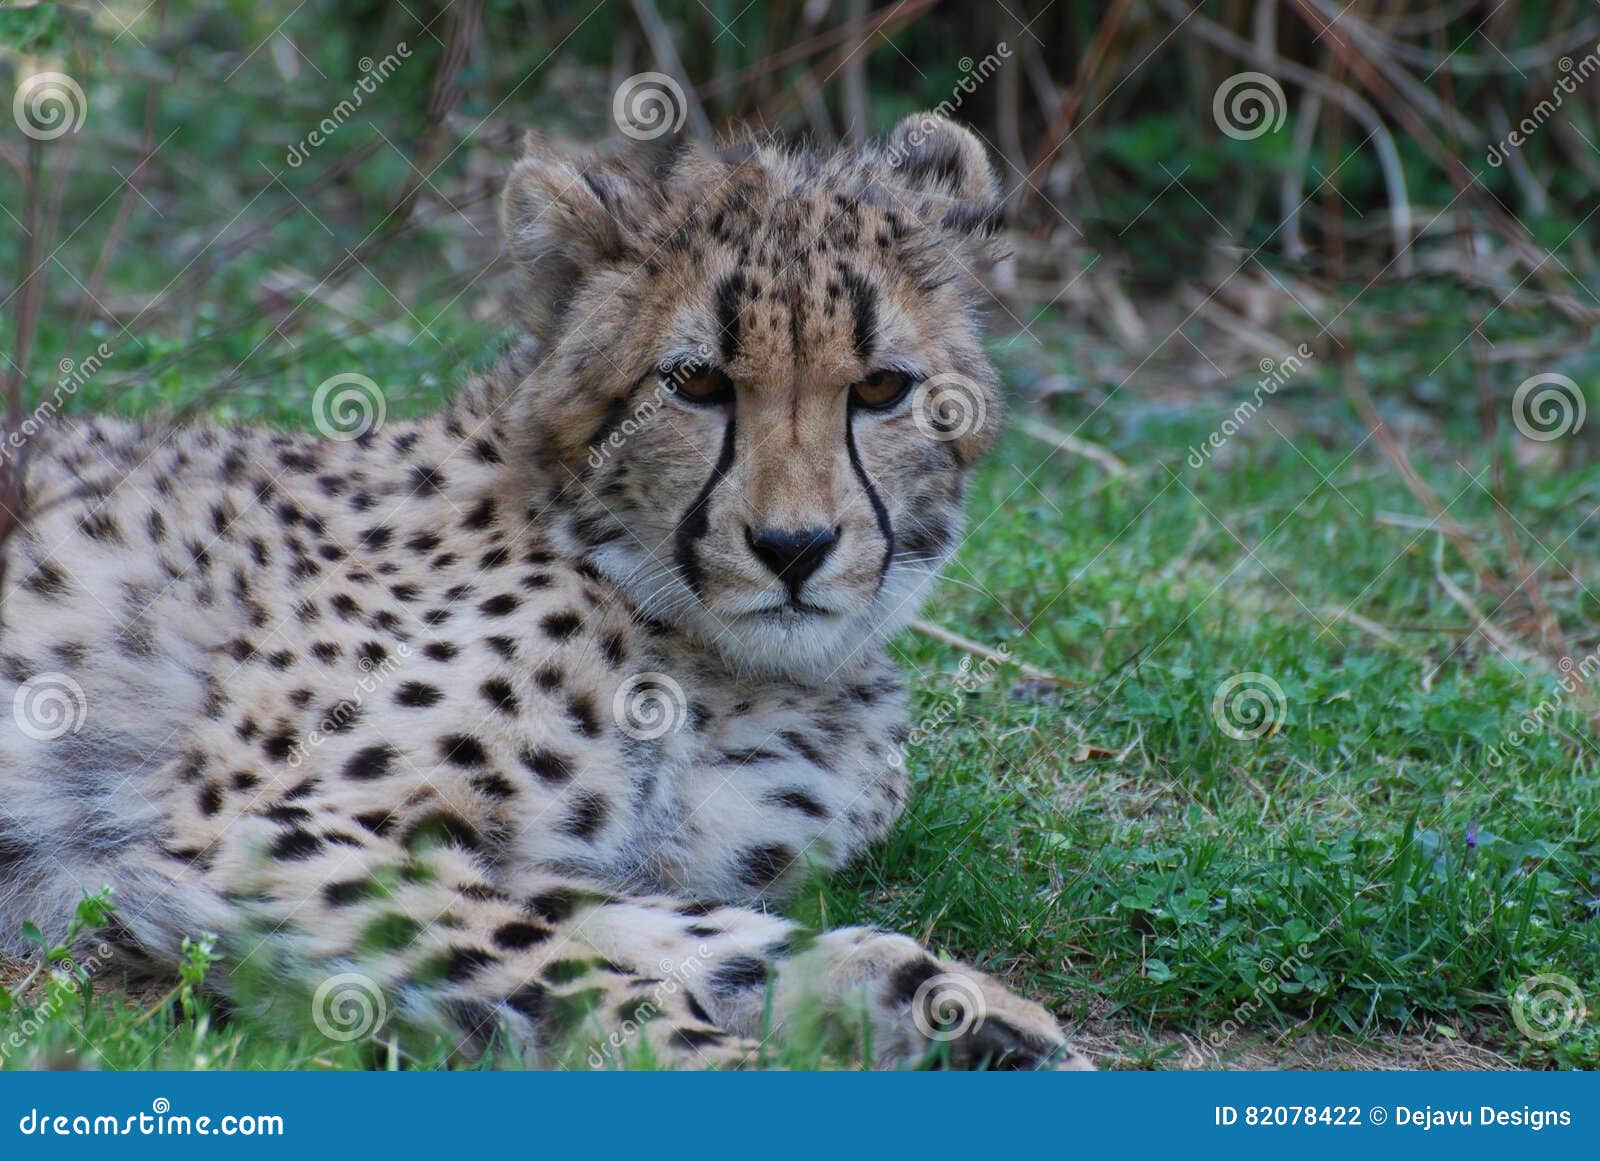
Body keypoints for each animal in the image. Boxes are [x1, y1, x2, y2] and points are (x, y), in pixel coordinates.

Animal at [0, 113, 1091, 1070]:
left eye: (880, 389)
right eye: (695, 383)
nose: (795, 547)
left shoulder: (541, 860)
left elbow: (701, 930)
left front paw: (956, 1007)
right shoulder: (263, 827)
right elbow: (562, 968)